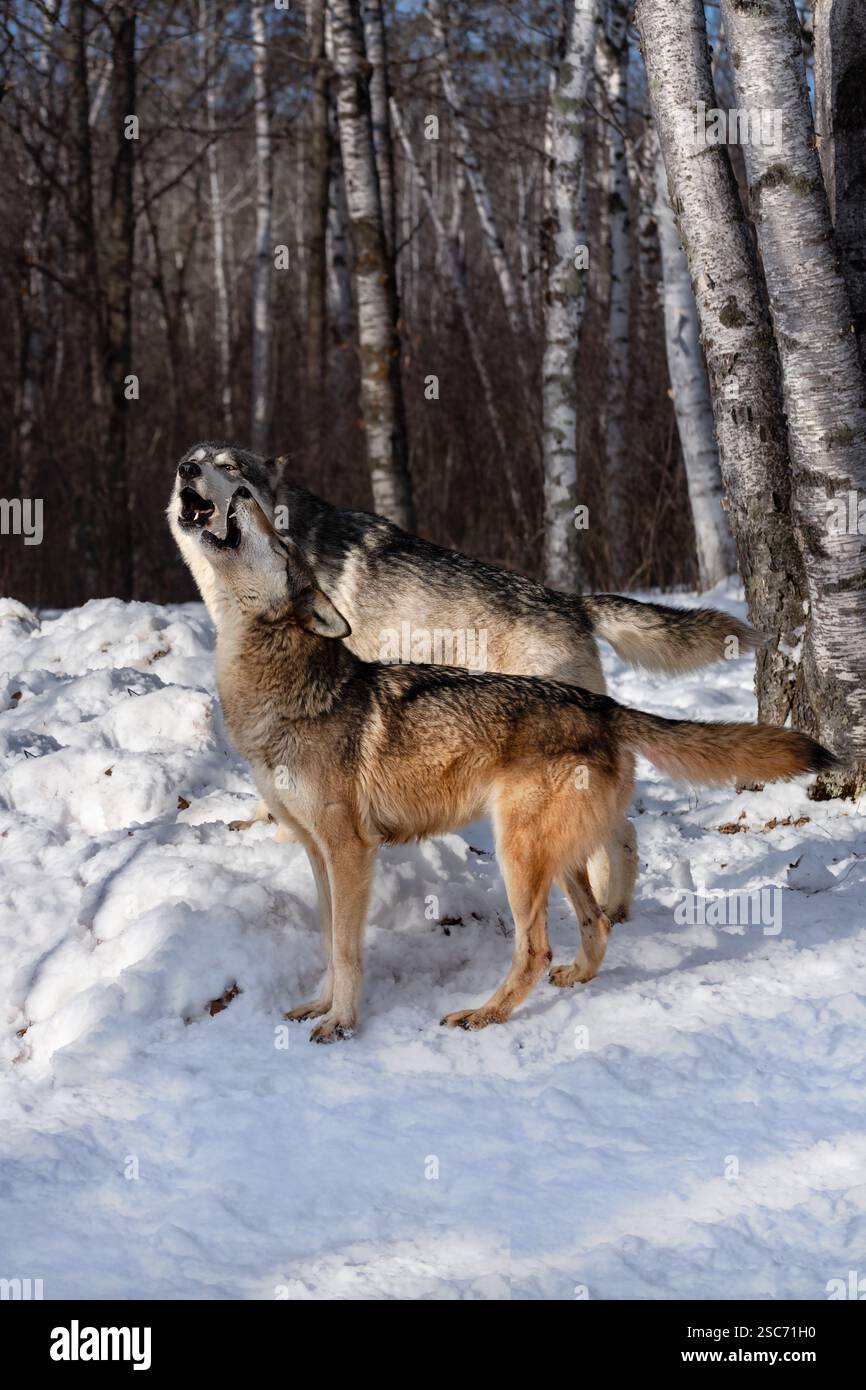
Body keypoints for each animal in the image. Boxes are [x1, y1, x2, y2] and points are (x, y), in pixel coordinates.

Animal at [168, 441, 760, 922]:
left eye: (232, 469)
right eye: (195, 459)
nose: (185, 469)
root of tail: (573, 602)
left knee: (620, 834)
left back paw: (609, 910)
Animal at [192, 490, 833, 1041]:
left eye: (281, 543)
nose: (243, 494)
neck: (287, 697)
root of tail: (605, 707)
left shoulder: (351, 852)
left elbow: (347, 950)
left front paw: (342, 1025)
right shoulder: (315, 851)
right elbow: (328, 943)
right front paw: (317, 1007)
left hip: (517, 854)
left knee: (535, 948)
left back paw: (483, 1015)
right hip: (553, 856)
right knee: (595, 923)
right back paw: (574, 977)